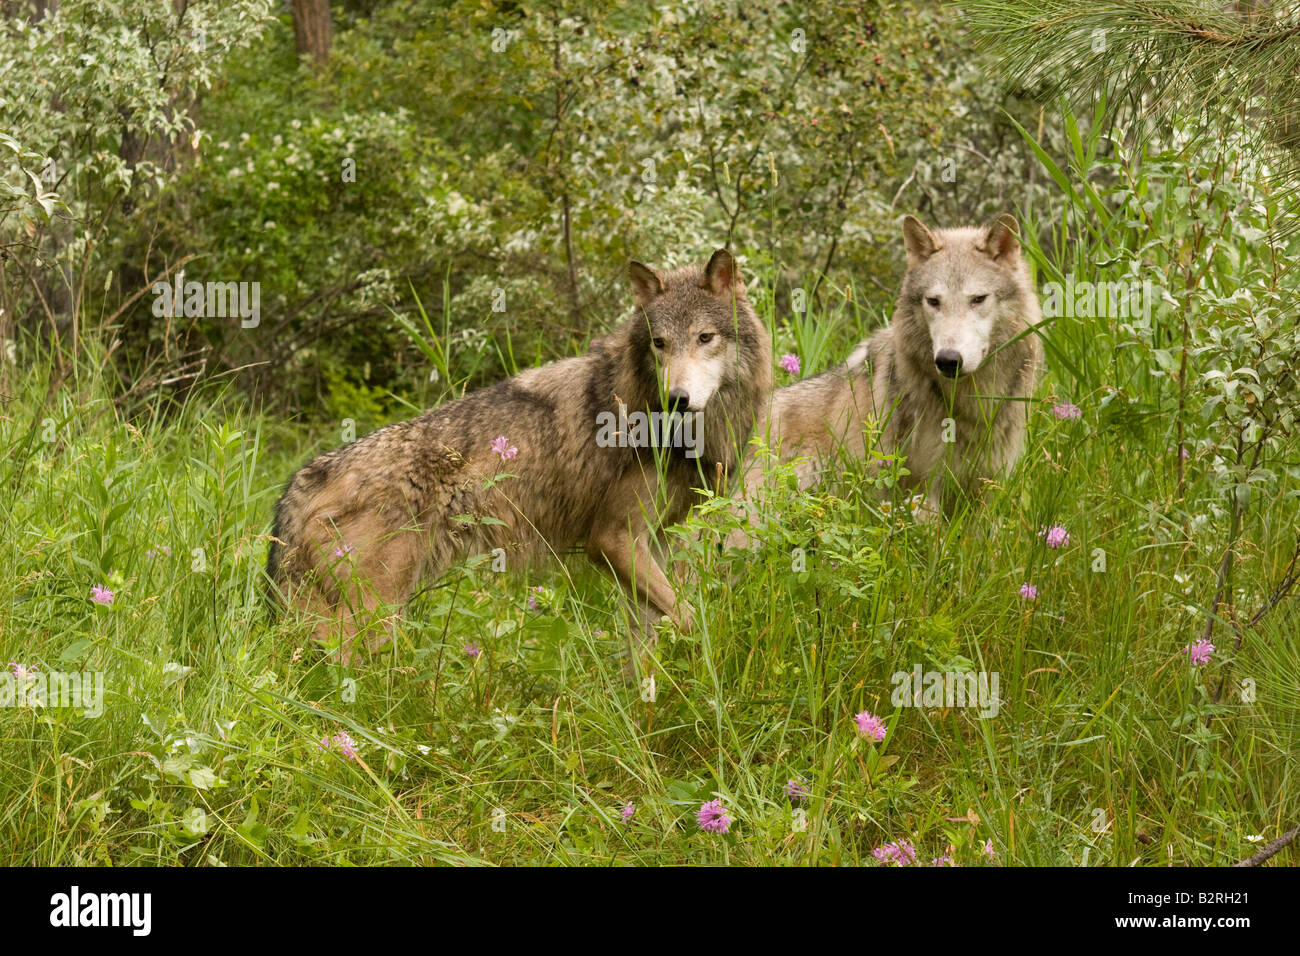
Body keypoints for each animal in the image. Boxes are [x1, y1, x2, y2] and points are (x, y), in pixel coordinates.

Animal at [268, 249, 771, 663]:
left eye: (704, 337)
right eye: (659, 343)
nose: (676, 399)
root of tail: (309, 475)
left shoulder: (655, 543)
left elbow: (647, 643)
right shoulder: (612, 539)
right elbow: (690, 621)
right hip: (373, 618)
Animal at [728, 214, 1043, 543]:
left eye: (978, 299)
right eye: (934, 301)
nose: (948, 360)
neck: (968, 404)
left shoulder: (986, 490)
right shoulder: (925, 488)